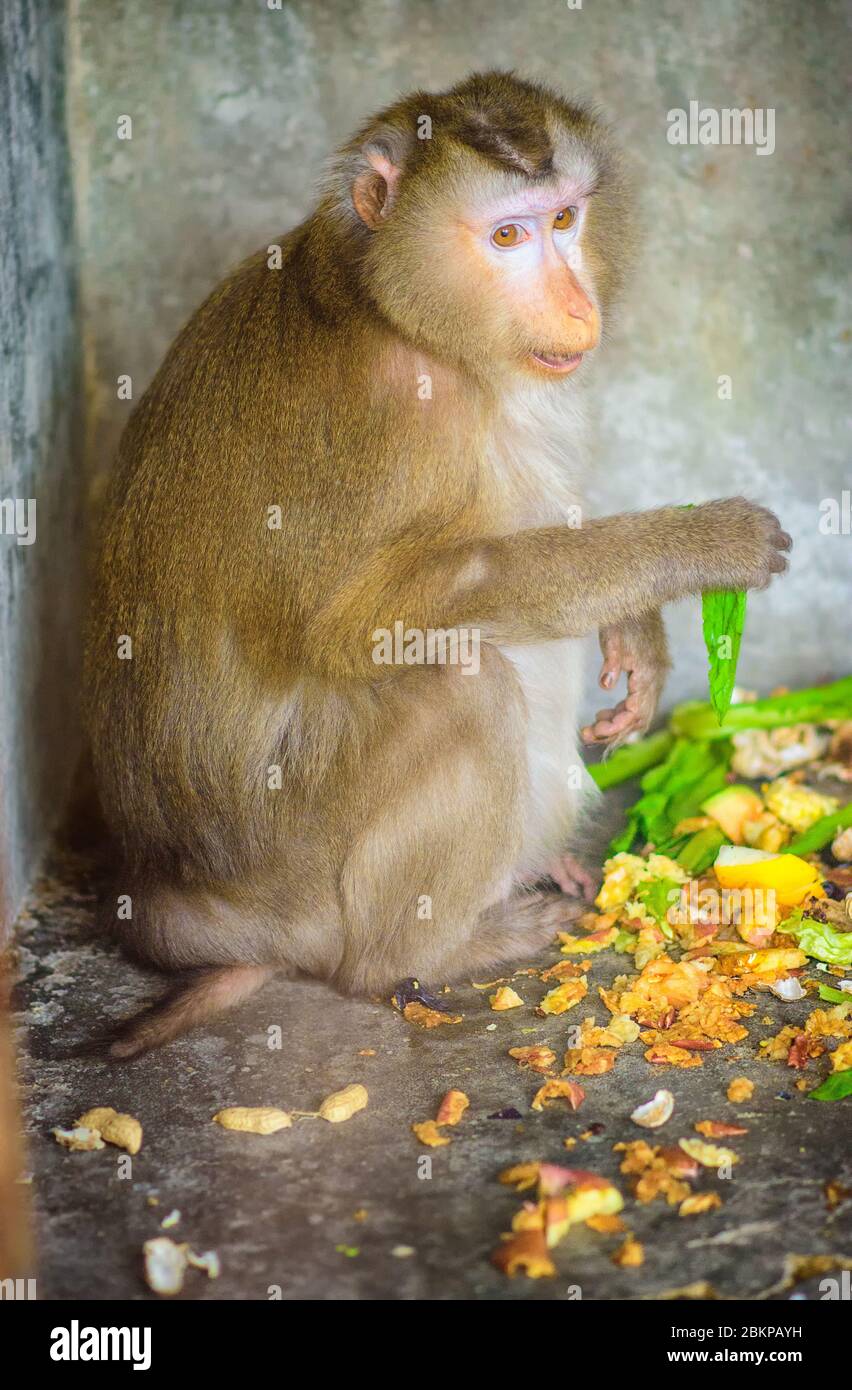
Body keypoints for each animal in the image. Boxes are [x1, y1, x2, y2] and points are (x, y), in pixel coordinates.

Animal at [85, 71, 791, 1057]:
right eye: (507, 237)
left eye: (565, 218)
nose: (577, 307)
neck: (393, 307)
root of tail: (179, 904)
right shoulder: (405, 419)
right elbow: (361, 626)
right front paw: (694, 548)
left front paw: (637, 625)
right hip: (298, 874)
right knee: (462, 682)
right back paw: (422, 953)